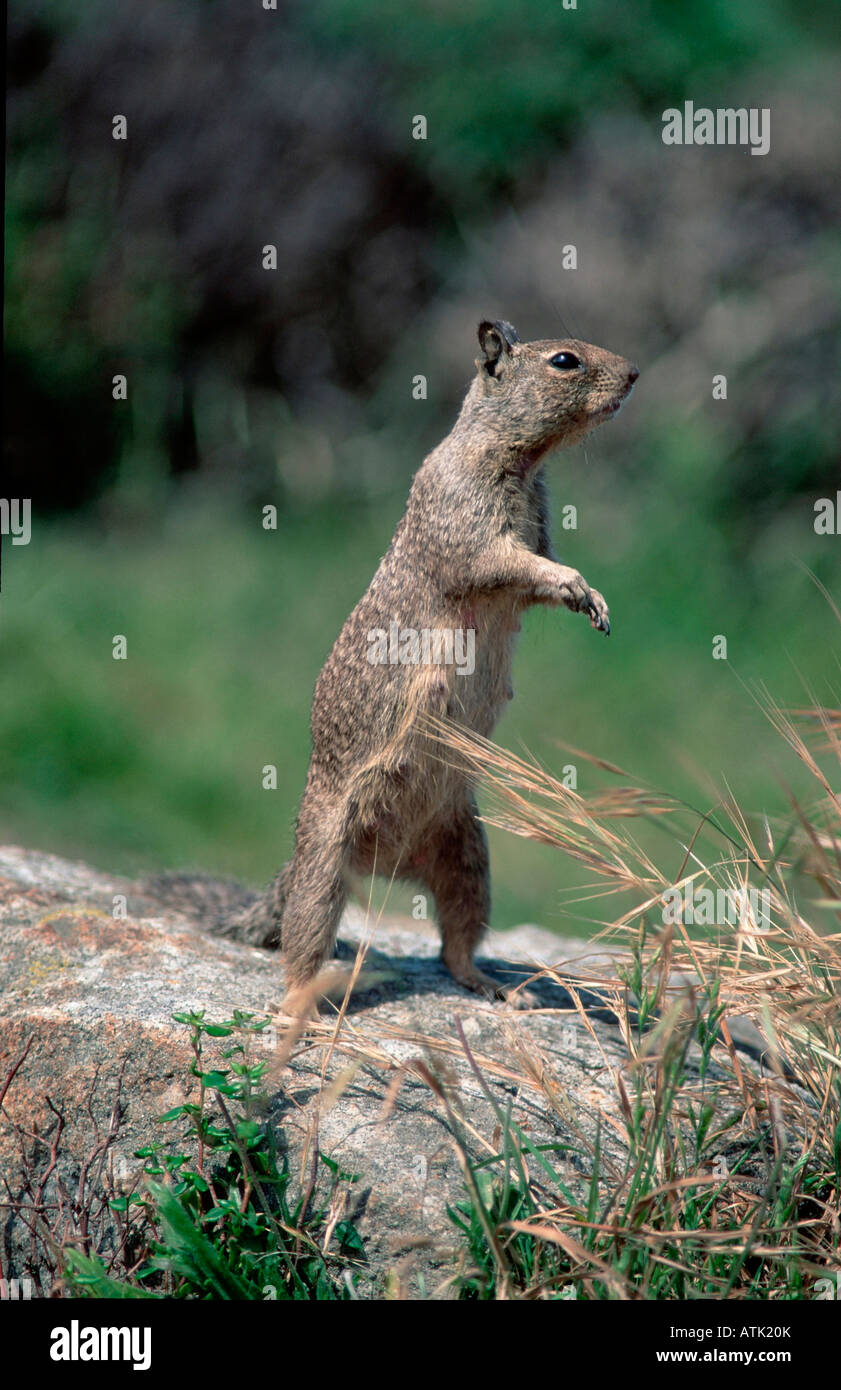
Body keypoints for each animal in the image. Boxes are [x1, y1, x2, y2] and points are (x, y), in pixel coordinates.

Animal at [147, 321, 638, 1010]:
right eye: (565, 361)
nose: (635, 373)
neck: (521, 460)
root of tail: (388, 864)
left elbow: (537, 579)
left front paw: (590, 598)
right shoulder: (466, 522)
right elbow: (504, 563)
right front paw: (576, 584)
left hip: (469, 856)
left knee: (455, 944)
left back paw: (495, 985)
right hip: (325, 870)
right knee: (304, 946)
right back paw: (298, 1005)